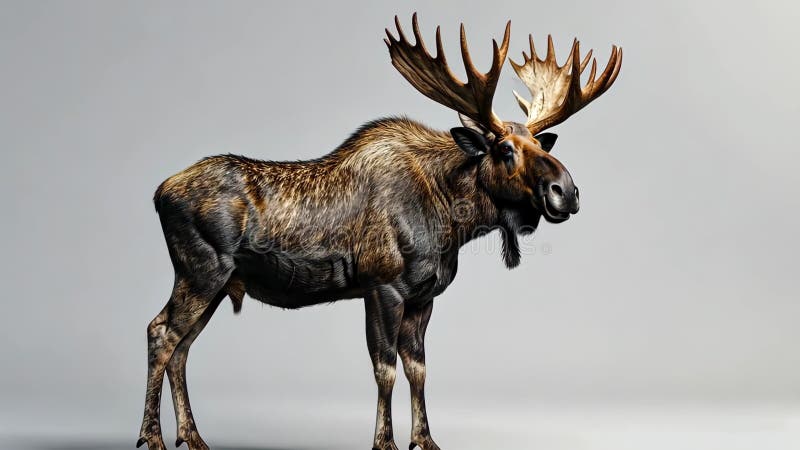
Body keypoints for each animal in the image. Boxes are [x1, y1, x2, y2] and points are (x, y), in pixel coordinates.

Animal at [137, 13, 622, 450]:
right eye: (504, 149)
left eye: (541, 144)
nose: (566, 191)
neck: (451, 220)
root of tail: (159, 192)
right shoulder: (382, 285)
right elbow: (384, 367)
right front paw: (385, 441)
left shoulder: (424, 296)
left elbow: (418, 368)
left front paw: (425, 439)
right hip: (201, 271)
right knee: (161, 333)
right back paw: (154, 437)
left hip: (220, 284)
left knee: (182, 347)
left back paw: (192, 437)